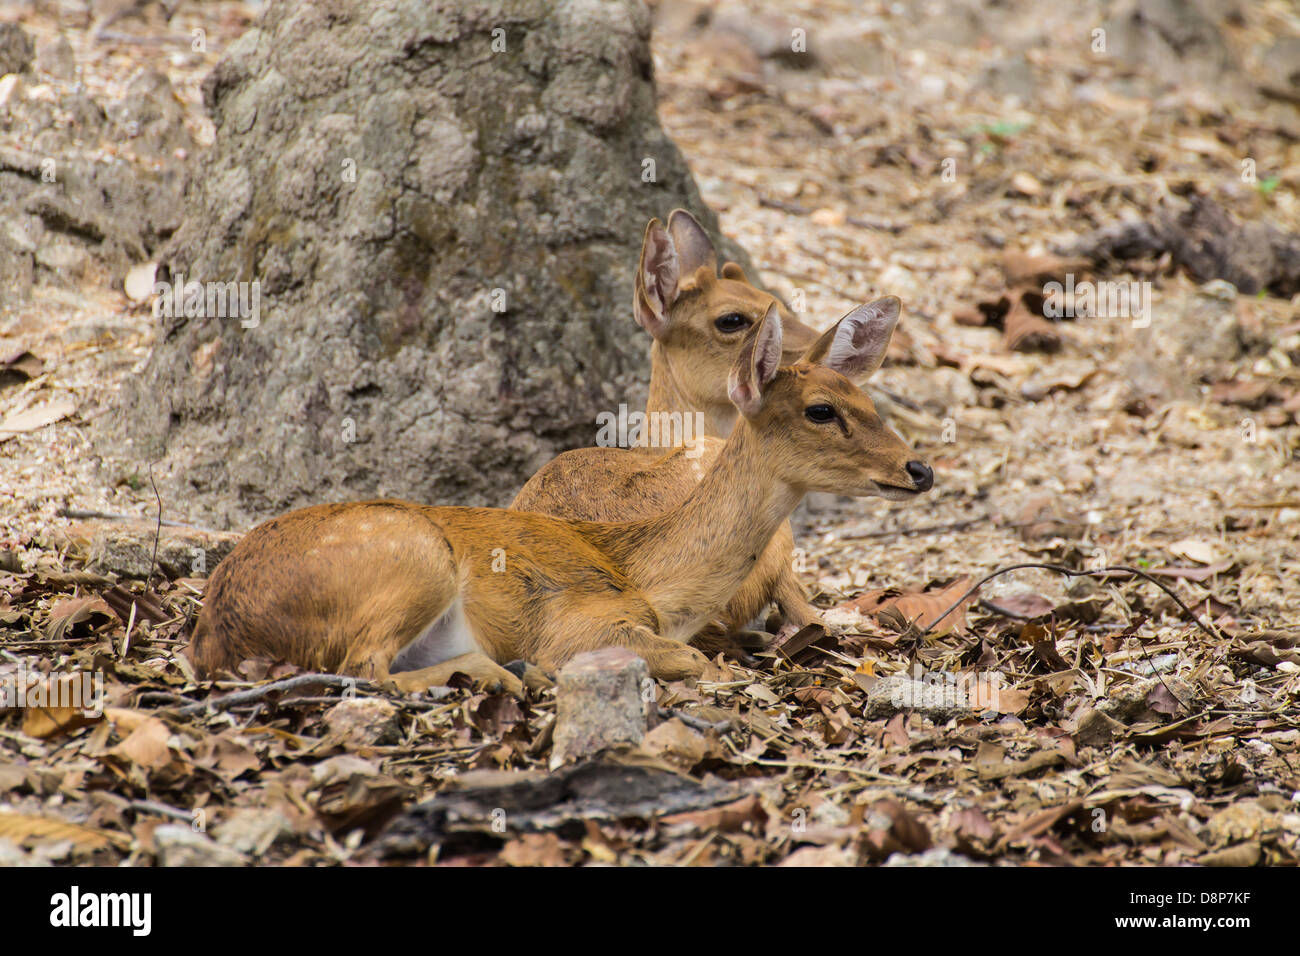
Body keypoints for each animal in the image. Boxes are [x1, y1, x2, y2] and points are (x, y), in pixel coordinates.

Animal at [189, 299, 933, 694]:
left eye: (867, 398)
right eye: (819, 410)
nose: (919, 468)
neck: (652, 581)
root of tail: (216, 632)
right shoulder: (578, 620)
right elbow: (693, 659)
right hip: (414, 559)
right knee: (368, 668)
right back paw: (513, 673)